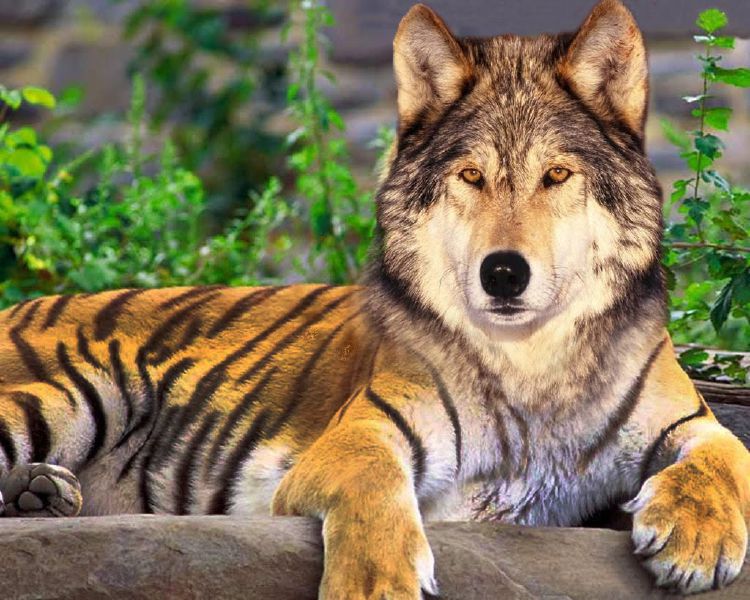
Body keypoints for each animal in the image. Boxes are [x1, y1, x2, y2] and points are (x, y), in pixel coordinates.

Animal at [0, 0, 748, 598]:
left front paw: (696, 541)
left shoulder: (689, 420)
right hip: (75, 393)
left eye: (557, 174)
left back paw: (43, 494)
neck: (530, 360)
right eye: (470, 175)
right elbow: (374, 488)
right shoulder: (361, 434)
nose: (504, 274)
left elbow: (727, 456)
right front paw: (375, 584)